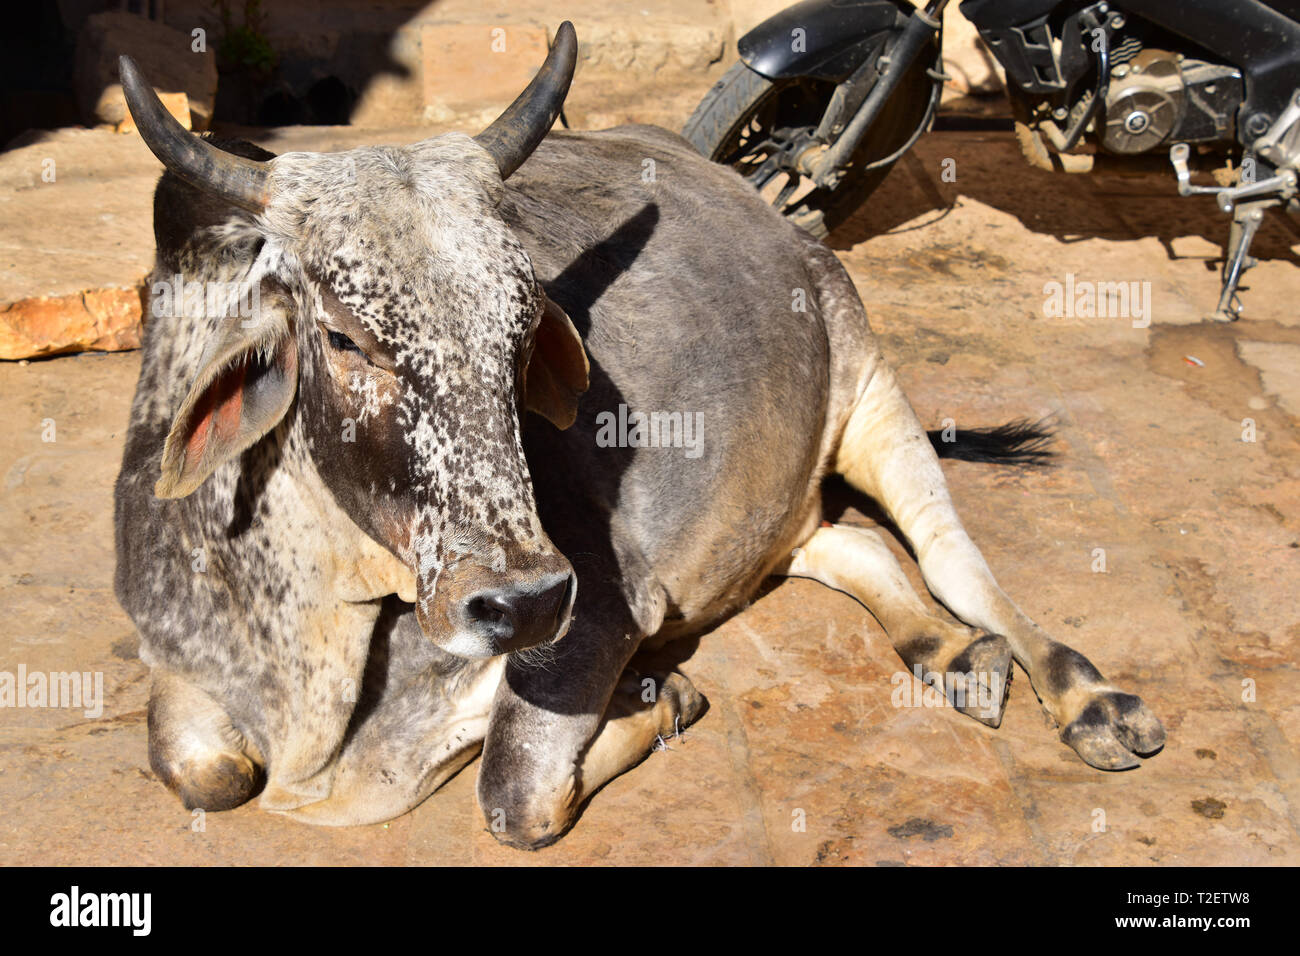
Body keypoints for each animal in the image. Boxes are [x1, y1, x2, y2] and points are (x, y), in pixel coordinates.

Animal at [113, 22, 1164, 850]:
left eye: (523, 329)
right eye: (341, 336)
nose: (523, 600)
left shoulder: (600, 615)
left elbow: (517, 799)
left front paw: (661, 697)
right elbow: (201, 769)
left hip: (871, 387)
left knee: (952, 559)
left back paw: (1080, 697)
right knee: (850, 546)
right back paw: (948, 653)